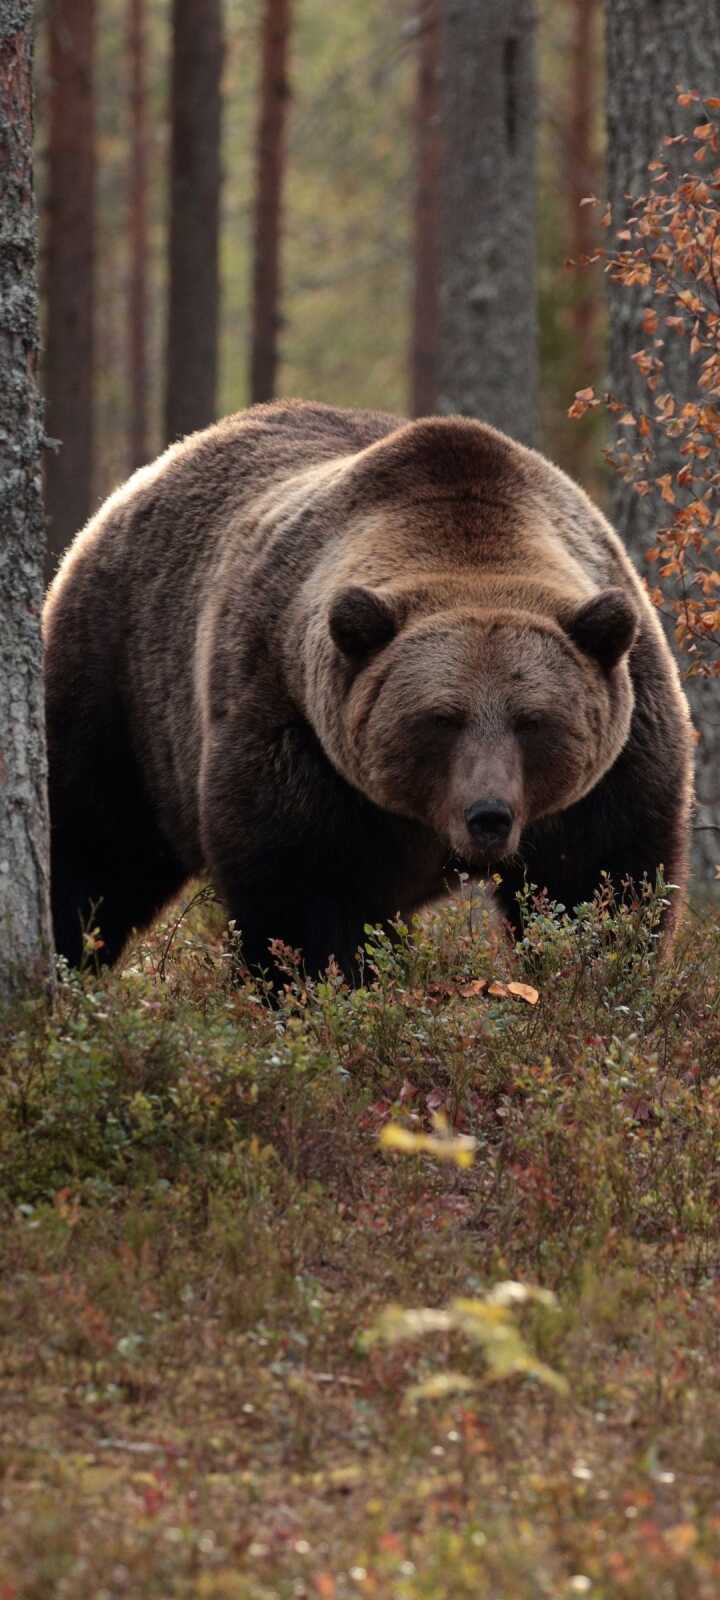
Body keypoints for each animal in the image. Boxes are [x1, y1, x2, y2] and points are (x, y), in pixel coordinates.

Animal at [43, 399, 694, 981]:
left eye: (533, 720)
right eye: (441, 718)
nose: (489, 816)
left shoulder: (619, 751)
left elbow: (602, 880)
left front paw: (598, 968)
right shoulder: (292, 720)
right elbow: (304, 892)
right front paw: (316, 985)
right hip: (123, 684)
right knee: (92, 842)